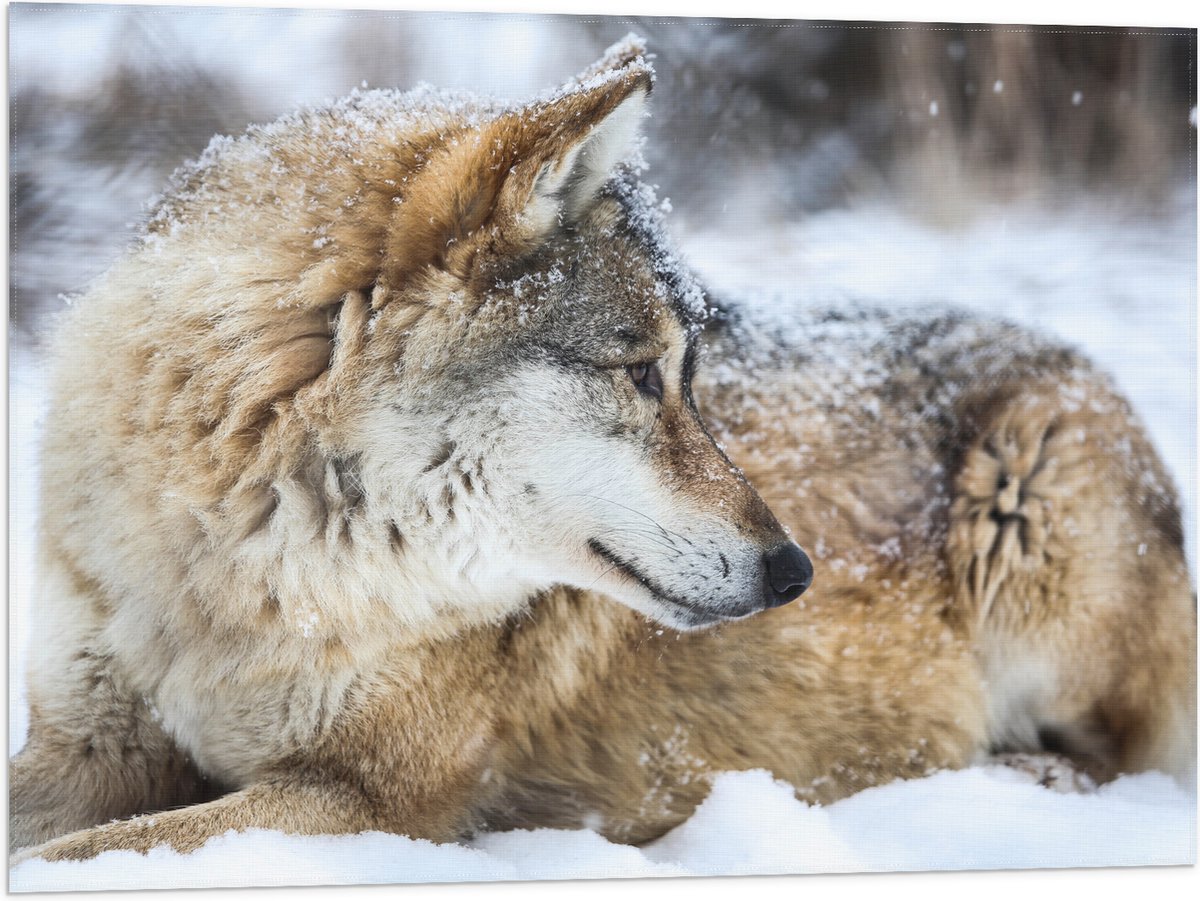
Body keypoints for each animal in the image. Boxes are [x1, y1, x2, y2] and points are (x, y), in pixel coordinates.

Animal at [10, 37, 1195, 863]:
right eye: (642, 374)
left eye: (692, 375)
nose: (796, 571)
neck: (236, 561)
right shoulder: (84, 746)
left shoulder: (374, 796)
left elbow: (80, 855)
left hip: (1037, 508)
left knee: (1125, 766)